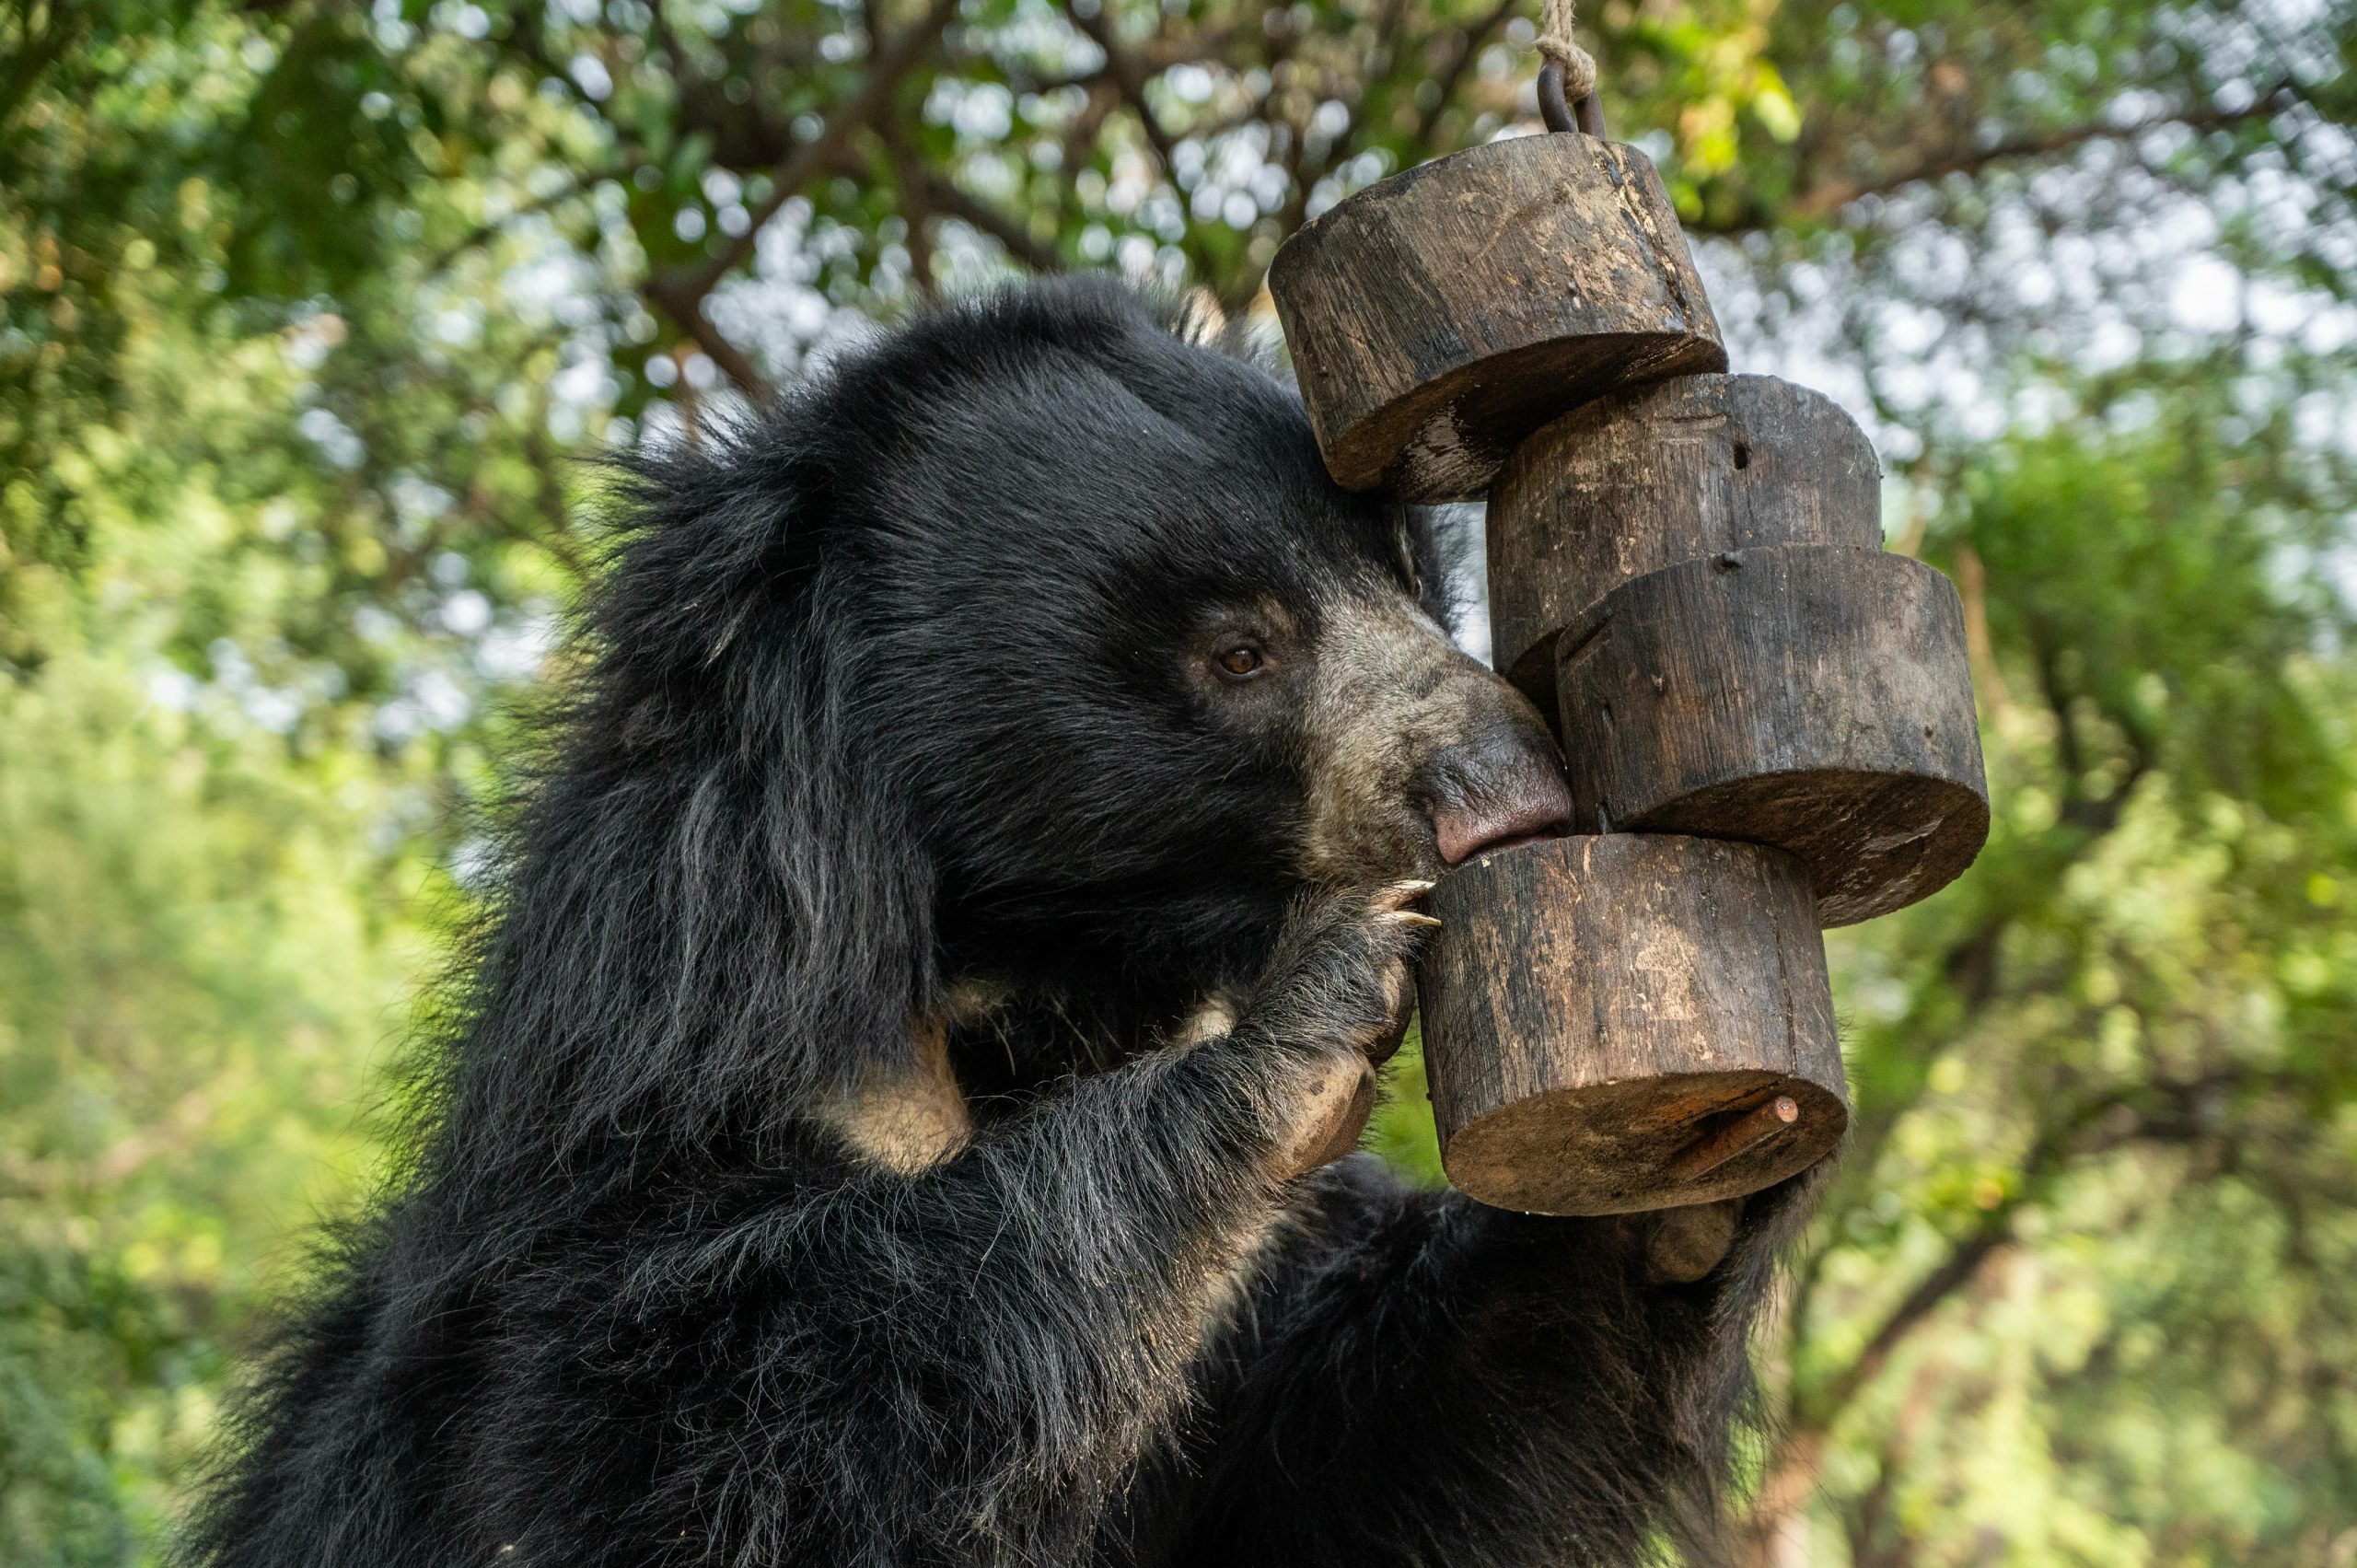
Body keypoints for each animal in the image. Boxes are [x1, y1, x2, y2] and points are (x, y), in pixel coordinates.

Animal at [186, 277, 1814, 1568]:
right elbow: (650, 1431)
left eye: (1407, 576)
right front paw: (1313, 1010)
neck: (1037, 969)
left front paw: (1684, 1175)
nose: (1515, 794)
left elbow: (1365, 1472)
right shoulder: (658, 1082)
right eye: (1237, 650)